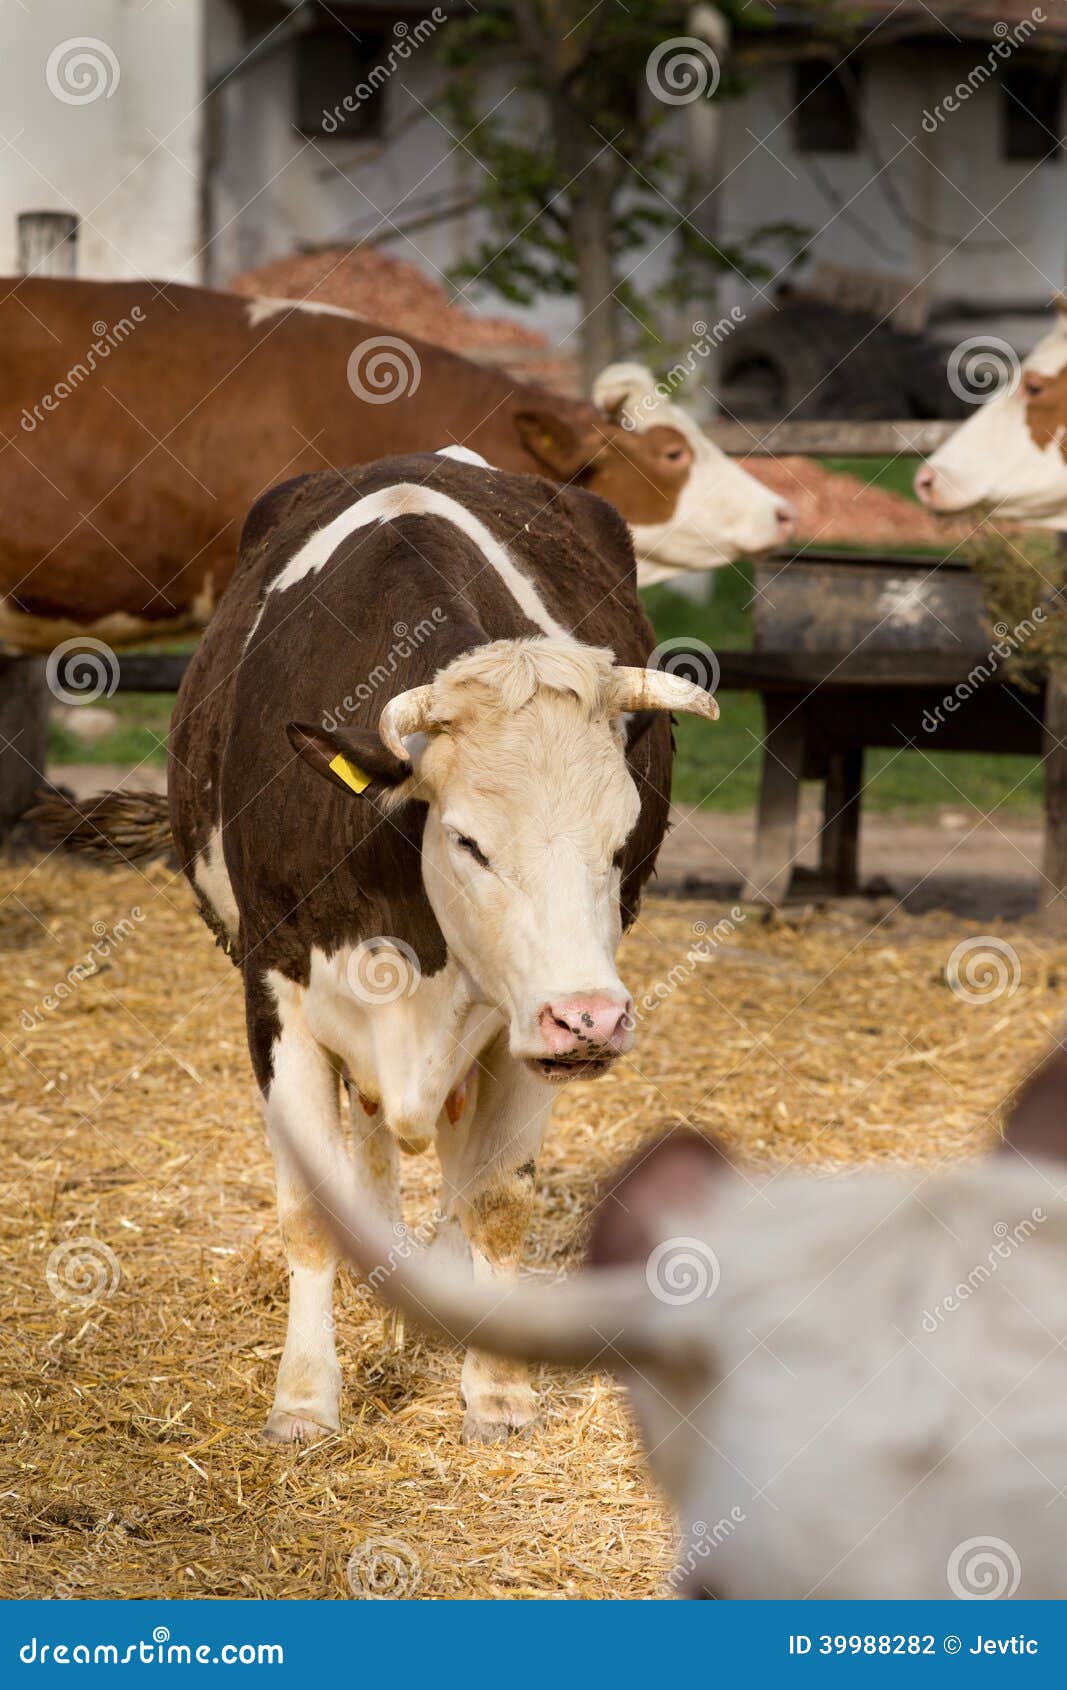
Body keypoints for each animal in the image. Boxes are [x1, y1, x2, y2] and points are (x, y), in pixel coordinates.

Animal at [42, 449, 720, 1444]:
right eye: (470, 842)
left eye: (621, 840)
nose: (590, 1018)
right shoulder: (277, 998)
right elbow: (309, 1209)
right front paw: (304, 1397)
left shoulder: (519, 1028)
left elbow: (495, 1200)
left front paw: (496, 1386)